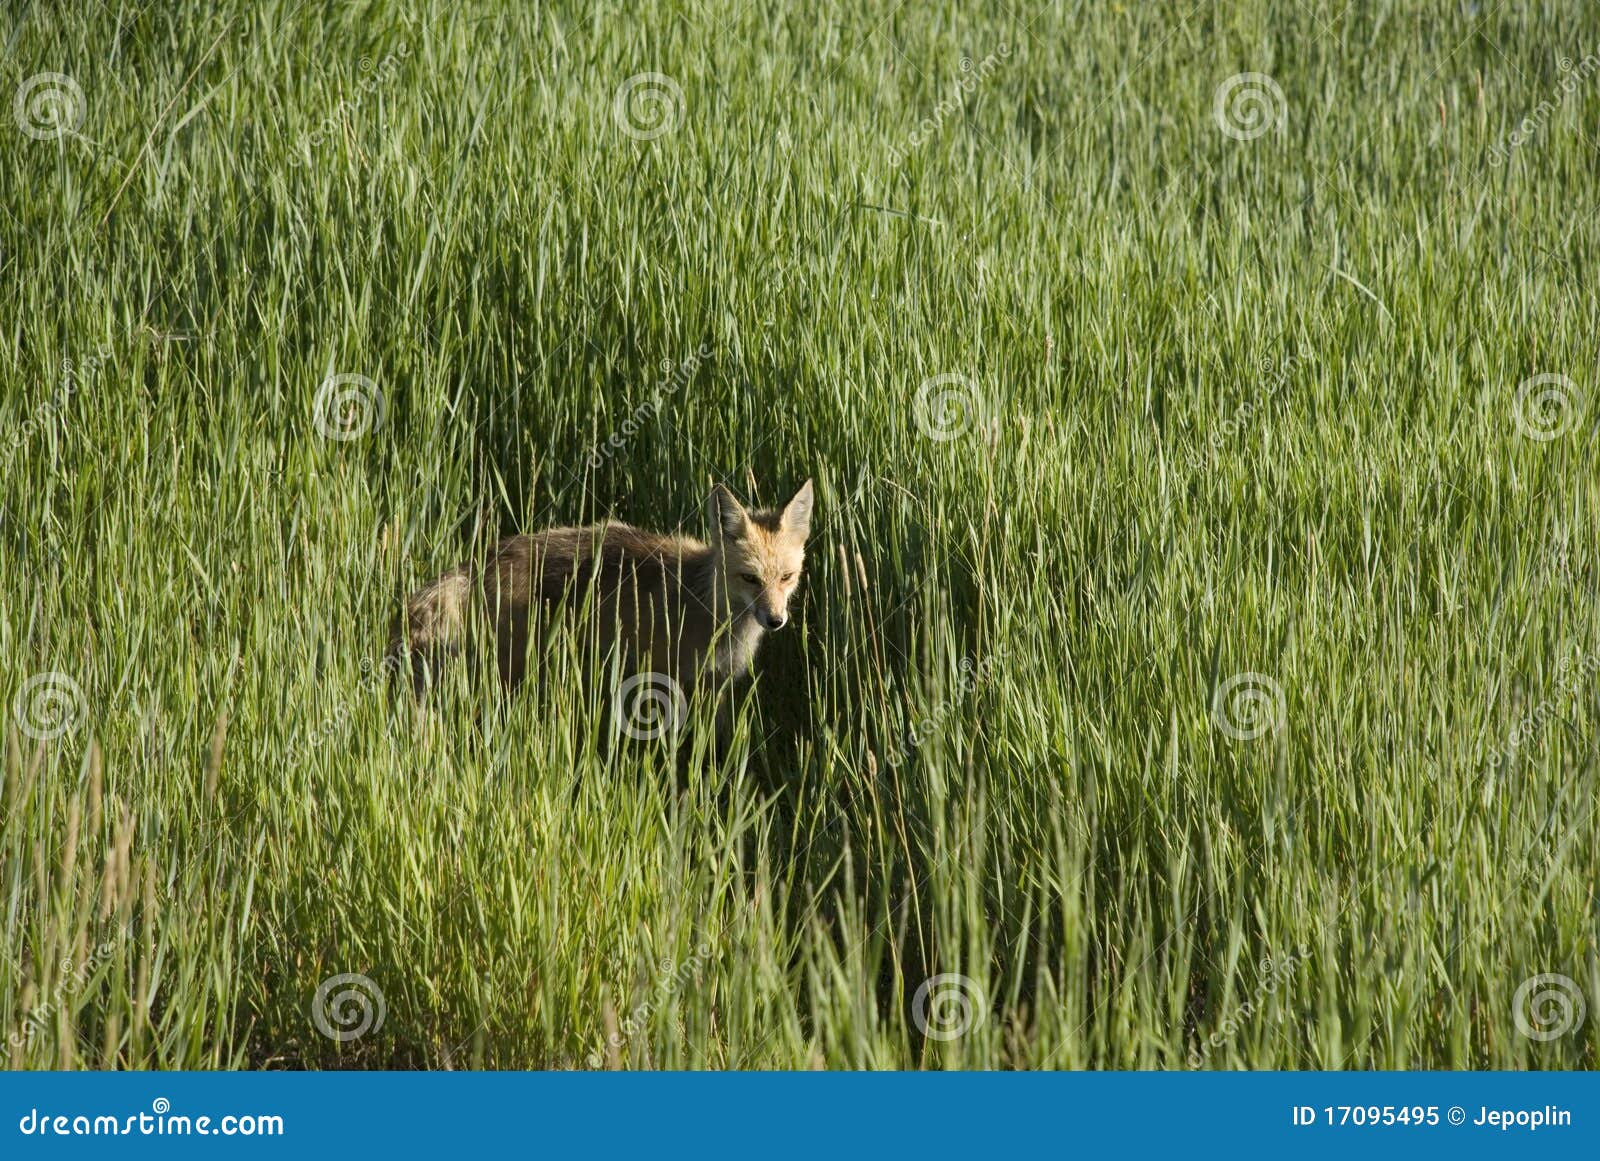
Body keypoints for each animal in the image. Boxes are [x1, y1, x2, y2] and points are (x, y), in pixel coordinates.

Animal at [390, 479, 814, 727]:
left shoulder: (716, 686)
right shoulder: (664, 680)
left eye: (786, 578)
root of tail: (480, 561)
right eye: (750, 578)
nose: (775, 619)